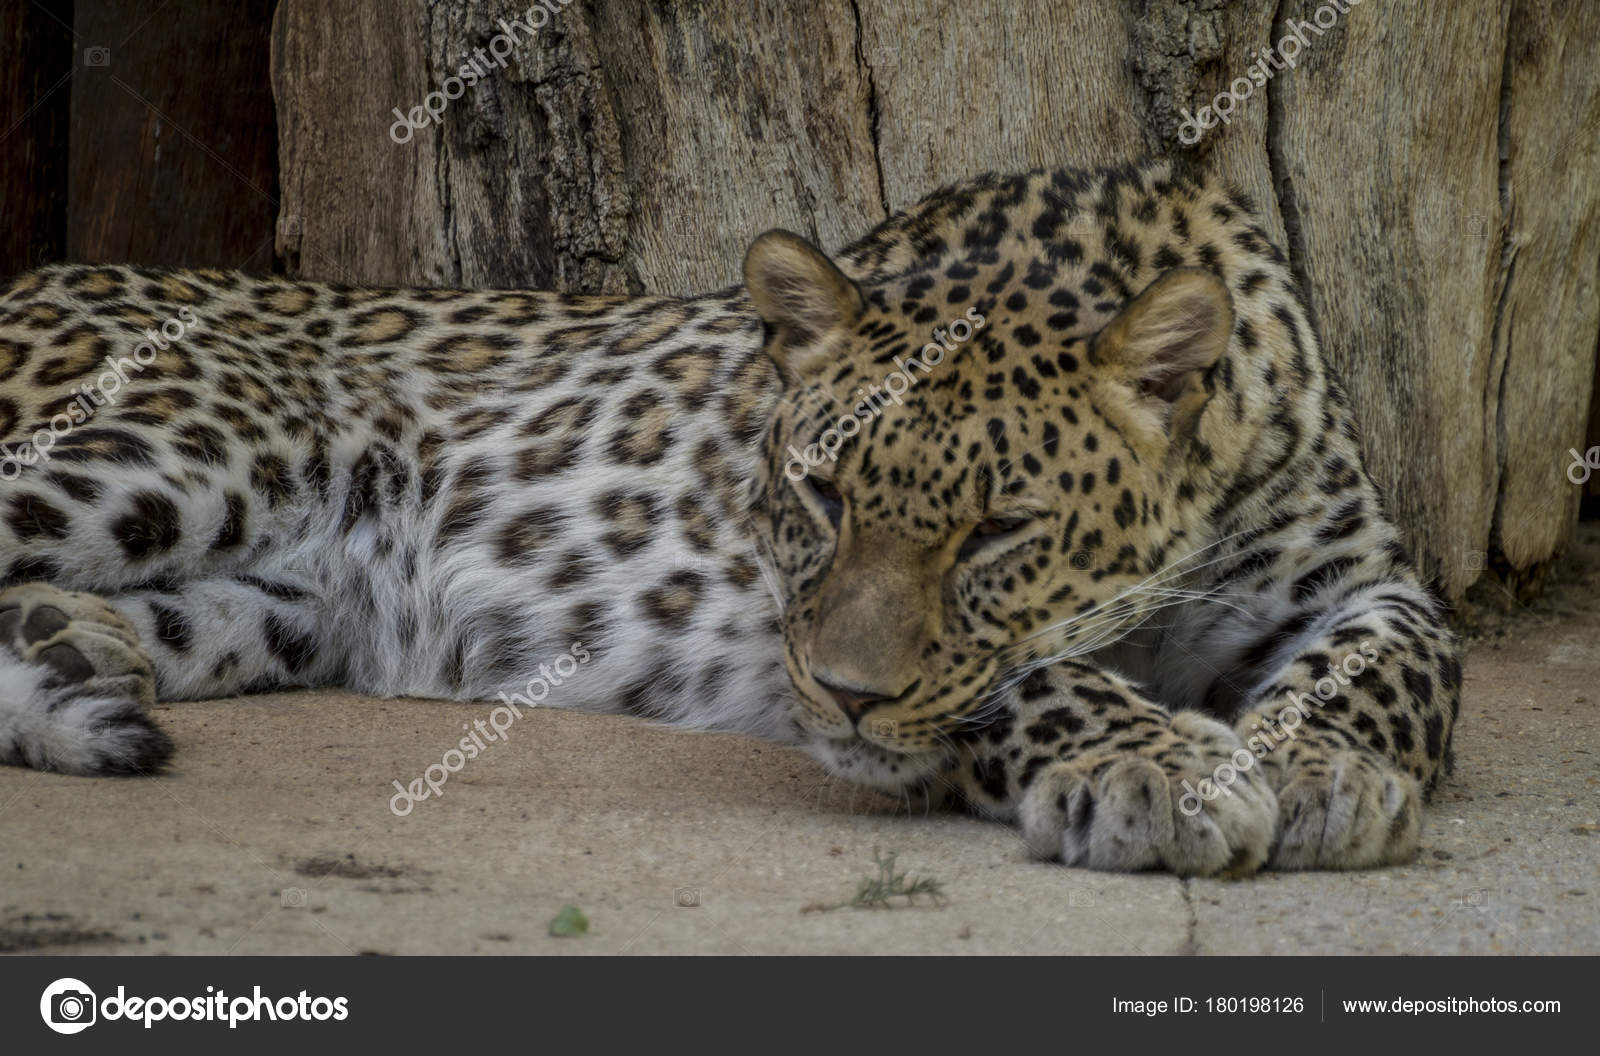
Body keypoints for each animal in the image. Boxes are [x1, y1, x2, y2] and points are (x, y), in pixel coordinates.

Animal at [0, 158, 1459, 875]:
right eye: (817, 492)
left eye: (999, 531)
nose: (848, 699)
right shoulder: (783, 617)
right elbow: (1034, 680)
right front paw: (1155, 771)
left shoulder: (1362, 580)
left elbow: (1395, 670)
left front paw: (1325, 774)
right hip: (203, 439)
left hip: (277, 603)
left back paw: (77, 651)